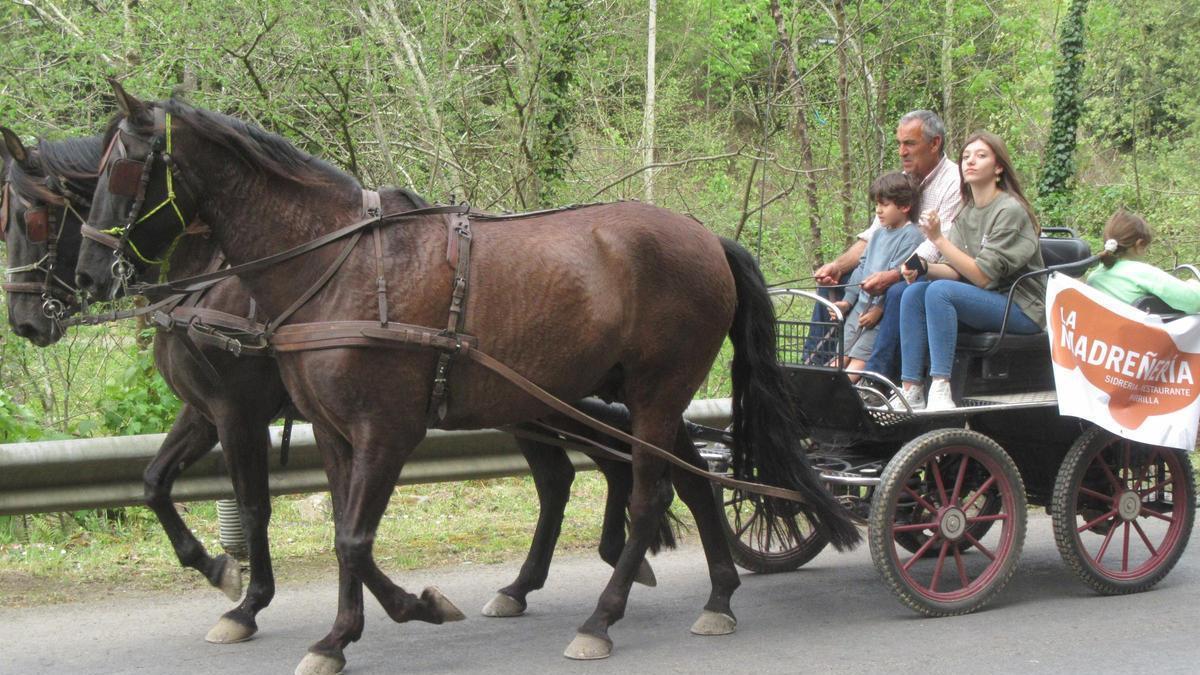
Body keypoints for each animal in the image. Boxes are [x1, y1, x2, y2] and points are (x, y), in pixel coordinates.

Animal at [2, 124, 671, 647]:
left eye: (35, 216)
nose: (27, 321)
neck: (215, 279)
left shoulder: (237, 411)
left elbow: (255, 503)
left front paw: (248, 601)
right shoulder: (204, 412)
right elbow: (153, 482)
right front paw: (215, 567)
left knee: (608, 463)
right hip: (529, 404)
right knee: (574, 474)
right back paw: (547, 579)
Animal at [73, 82, 859, 675]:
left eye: (121, 171)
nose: (86, 273)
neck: (340, 267)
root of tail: (707, 238)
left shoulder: (383, 431)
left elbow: (353, 539)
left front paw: (395, 614)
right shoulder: (330, 433)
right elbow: (343, 534)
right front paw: (345, 632)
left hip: (656, 391)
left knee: (647, 496)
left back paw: (601, 619)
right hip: (633, 398)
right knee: (687, 480)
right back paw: (718, 597)